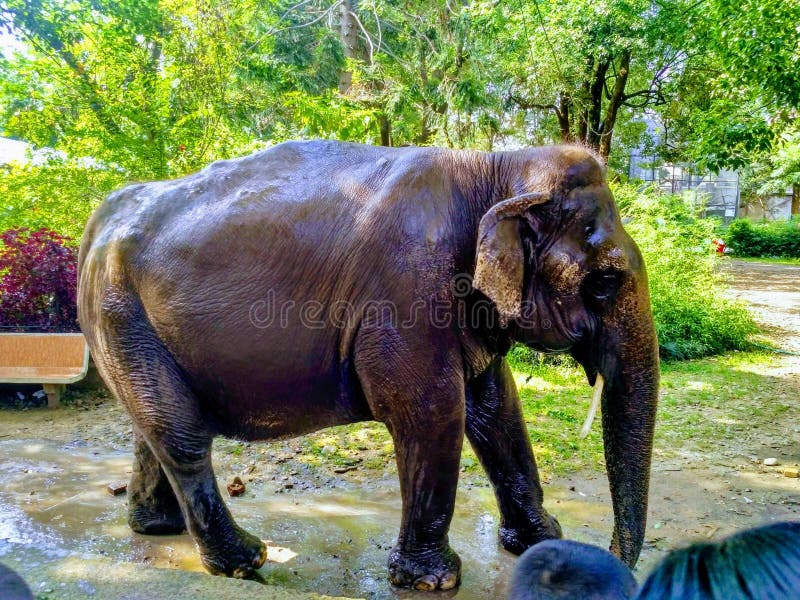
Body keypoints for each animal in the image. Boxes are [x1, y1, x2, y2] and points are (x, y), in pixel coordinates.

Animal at [77, 140, 659, 591]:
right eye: (604, 283)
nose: (608, 562)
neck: (496, 166)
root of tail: (96, 221)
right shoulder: (407, 291)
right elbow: (429, 410)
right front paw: (434, 581)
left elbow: (496, 407)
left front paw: (543, 539)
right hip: (117, 310)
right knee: (181, 435)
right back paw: (245, 559)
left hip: (128, 325)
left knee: (153, 426)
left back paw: (158, 528)